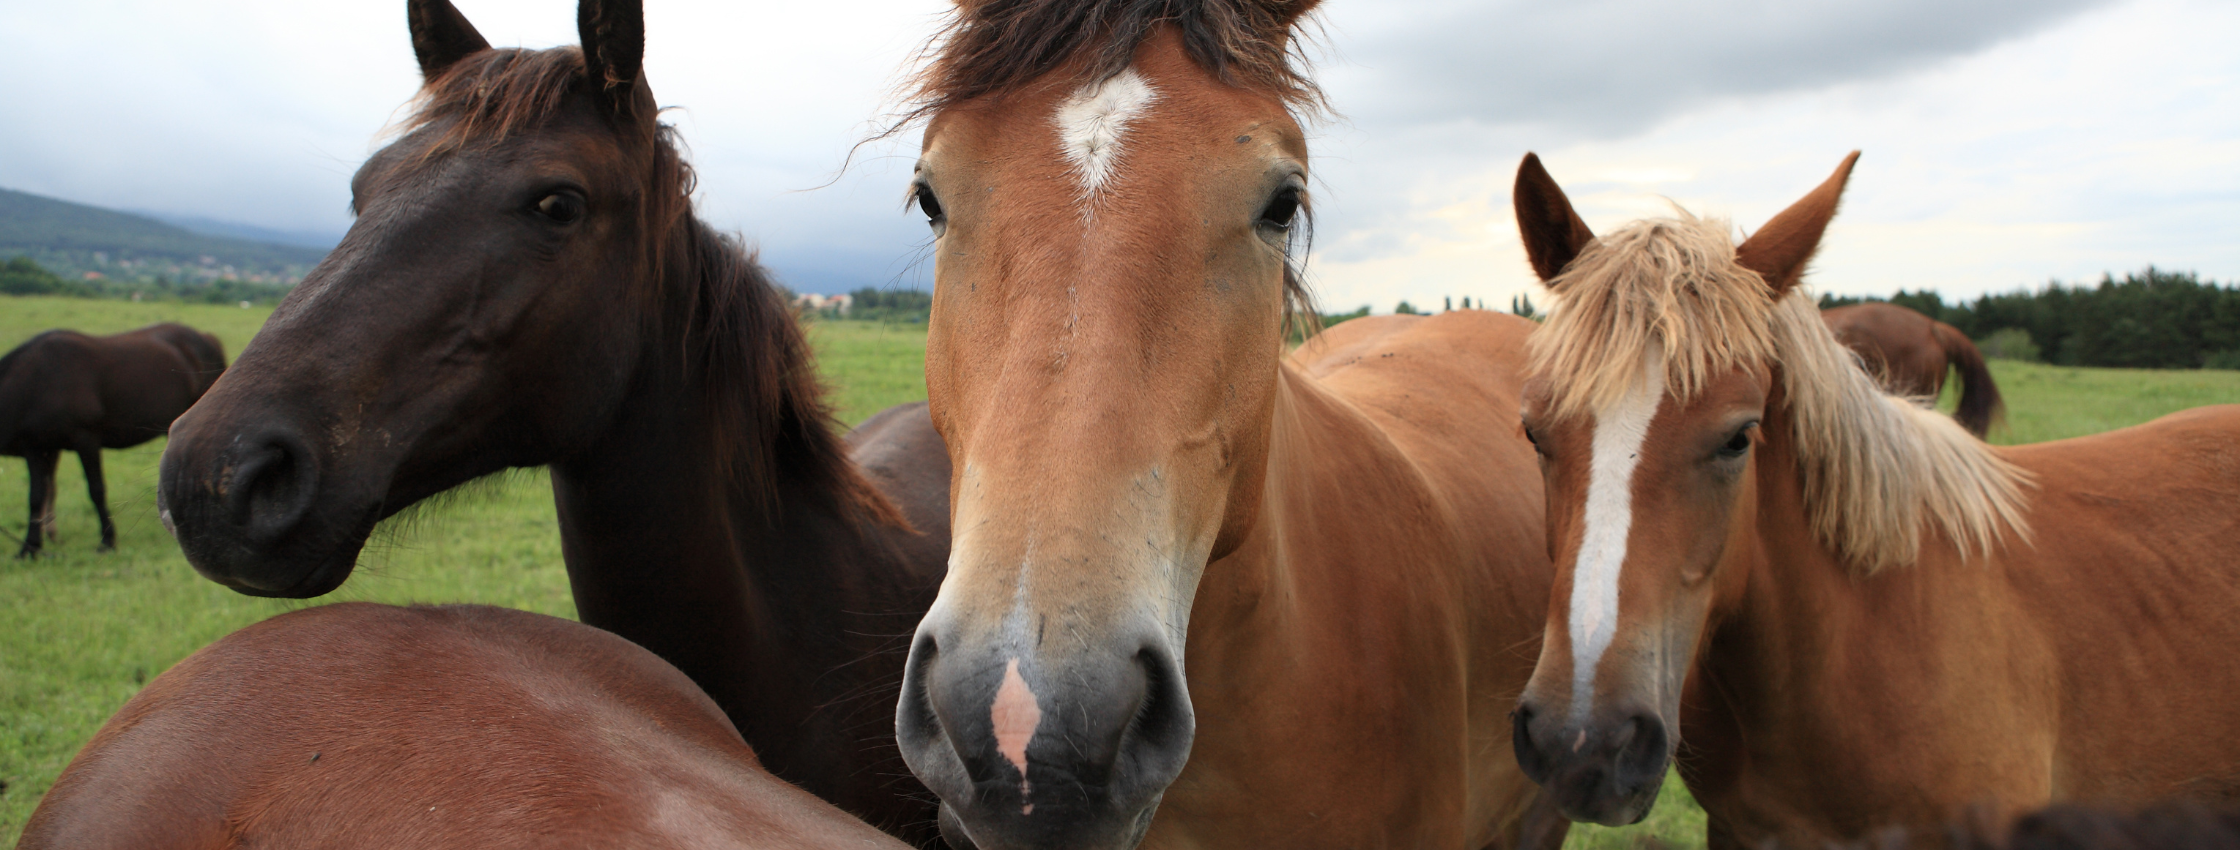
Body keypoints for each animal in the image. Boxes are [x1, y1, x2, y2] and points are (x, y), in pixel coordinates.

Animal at [1, 322, 225, 557]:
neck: (38, 379)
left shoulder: (86, 441)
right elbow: (36, 496)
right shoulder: (36, 448)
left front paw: (107, 540)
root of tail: (206, 338)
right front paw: (30, 547)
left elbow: (96, 490)